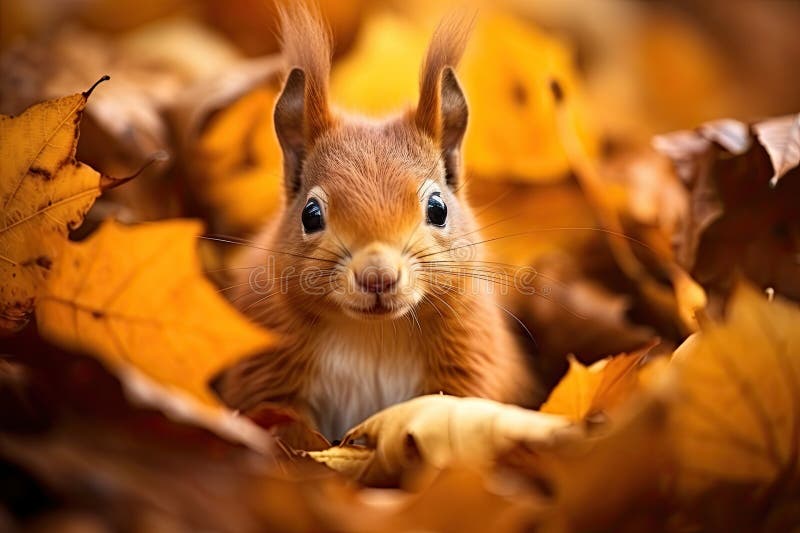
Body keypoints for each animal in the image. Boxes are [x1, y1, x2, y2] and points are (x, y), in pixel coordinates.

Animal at [214, 4, 542, 440]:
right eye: (310, 214)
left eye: (438, 209)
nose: (377, 277)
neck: (374, 334)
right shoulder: (266, 362)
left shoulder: (473, 359)